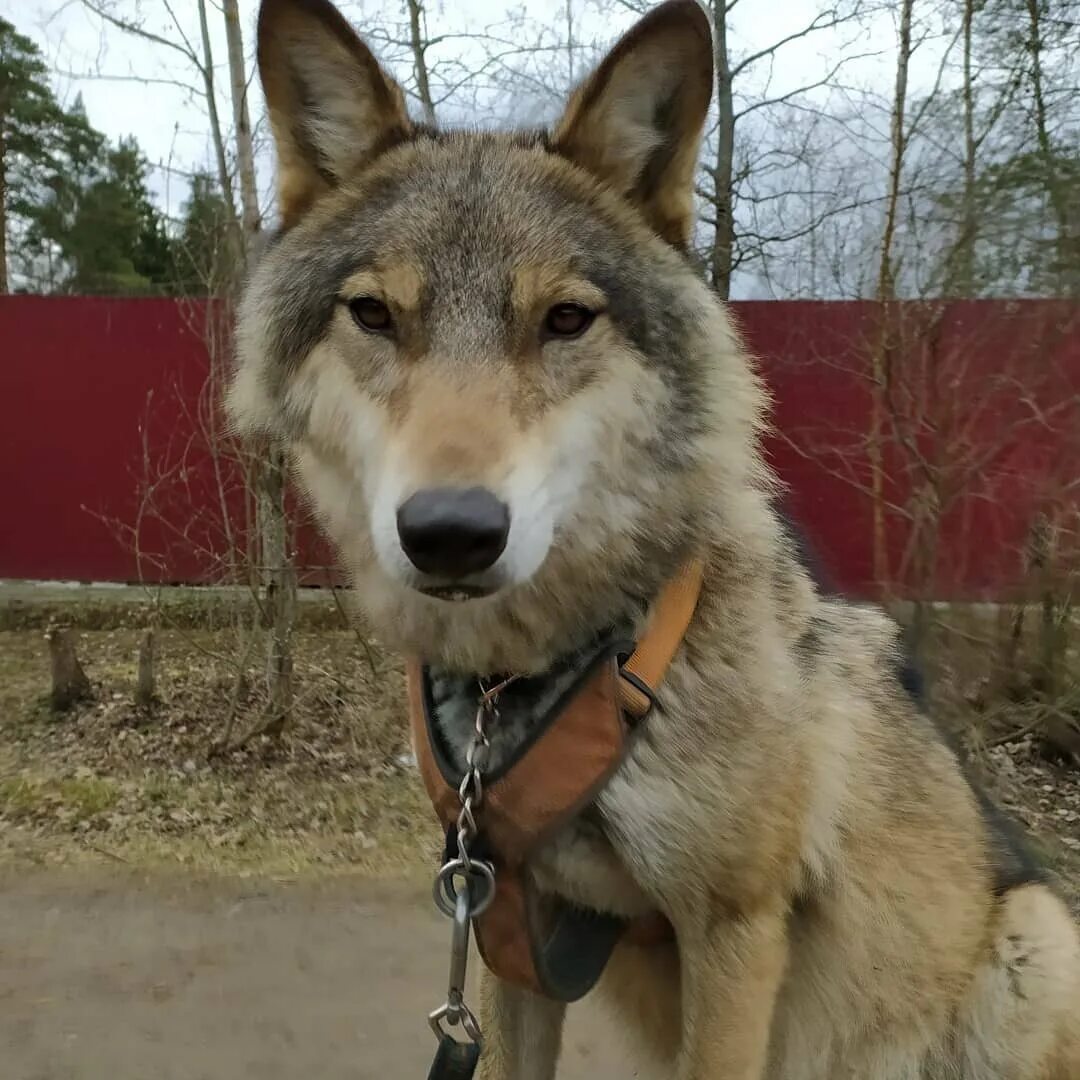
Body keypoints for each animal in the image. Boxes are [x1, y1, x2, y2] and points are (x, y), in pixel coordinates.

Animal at [230, 0, 1080, 1075]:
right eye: (375, 315)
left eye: (564, 319)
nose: (452, 533)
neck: (538, 675)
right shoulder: (503, 918)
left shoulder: (734, 929)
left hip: (1038, 940)